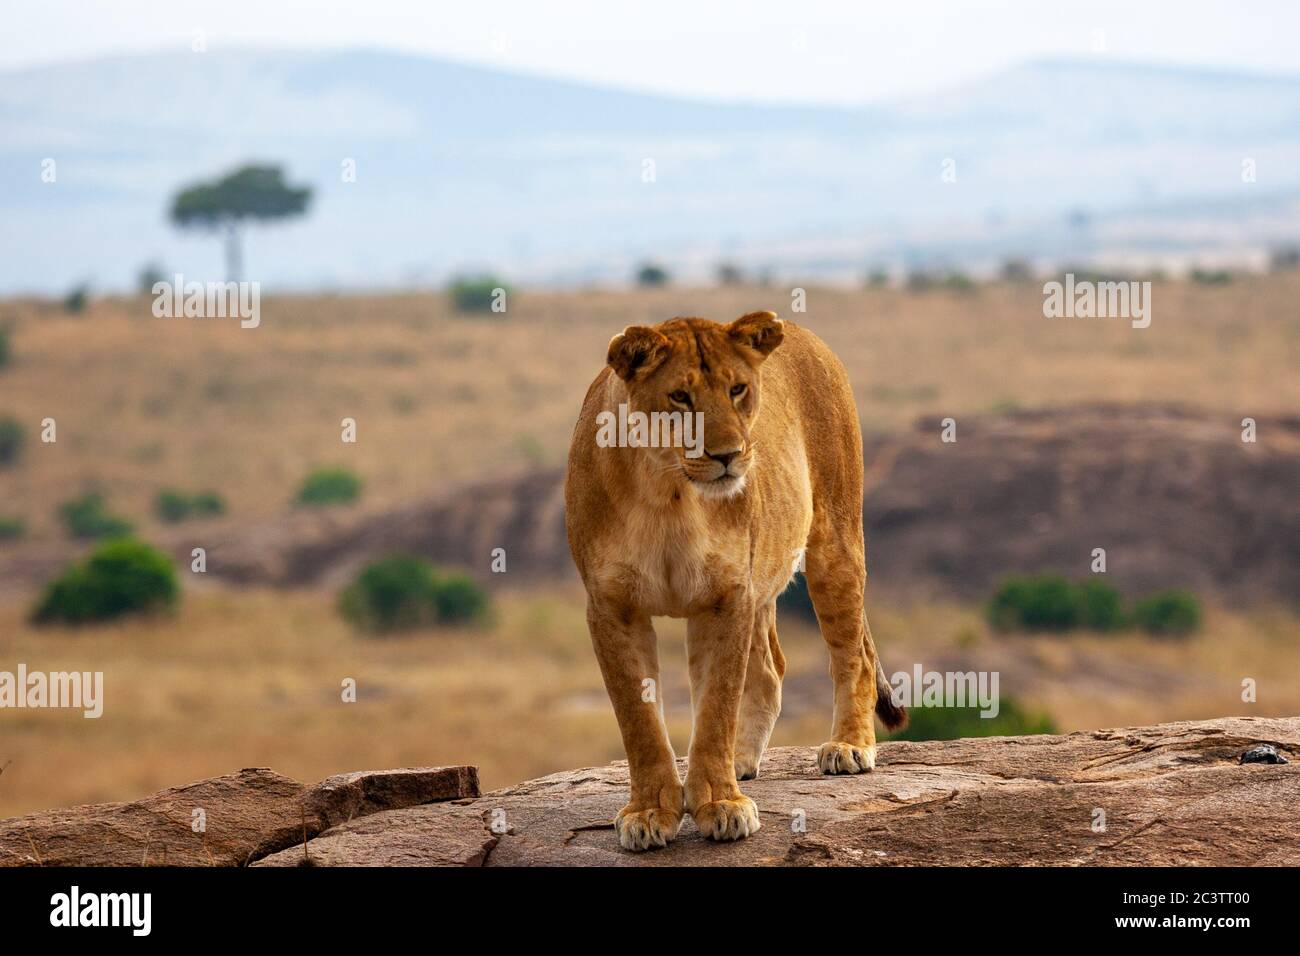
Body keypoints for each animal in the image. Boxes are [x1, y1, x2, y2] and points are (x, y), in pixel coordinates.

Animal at [564, 311, 906, 851]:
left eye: (737, 389)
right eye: (680, 397)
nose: (728, 454)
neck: (668, 493)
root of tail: (800, 331)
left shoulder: (725, 597)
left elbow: (716, 707)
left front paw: (719, 805)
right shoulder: (611, 605)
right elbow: (639, 718)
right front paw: (650, 812)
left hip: (834, 543)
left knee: (852, 654)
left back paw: (848, 746)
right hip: (764, 575)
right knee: (770, 669)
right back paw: (742, 760)